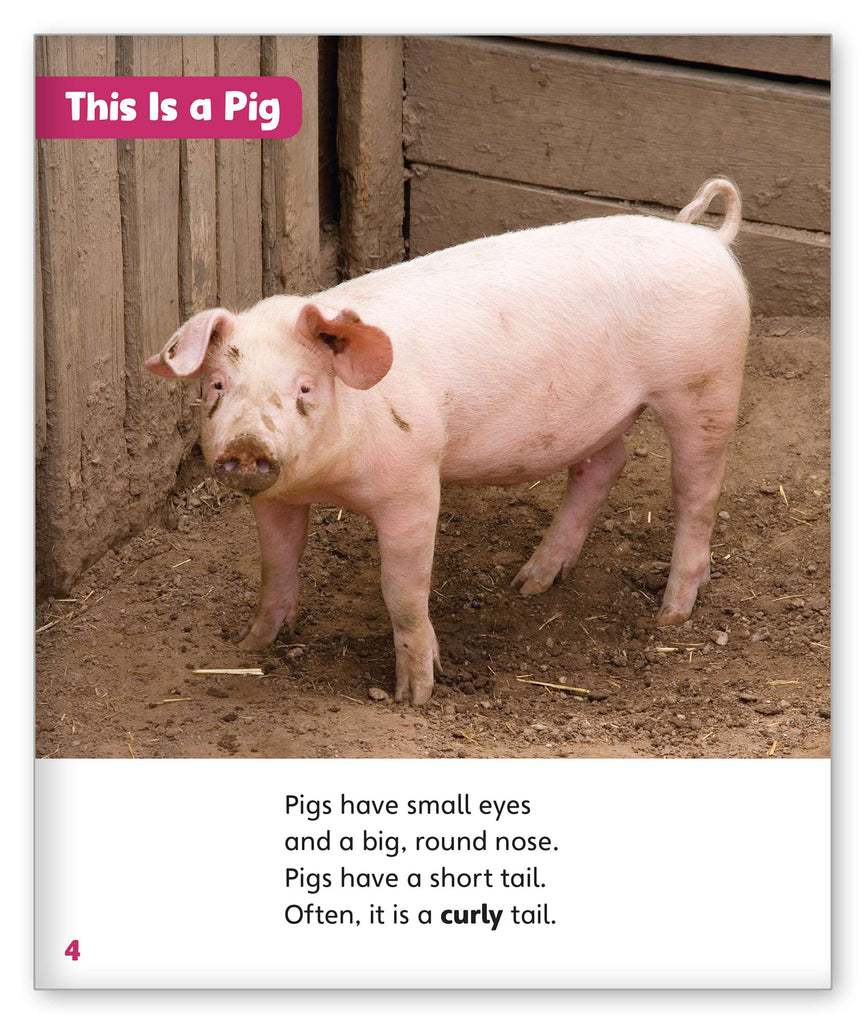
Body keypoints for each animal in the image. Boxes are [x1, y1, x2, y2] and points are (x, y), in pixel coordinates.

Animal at [147, 177, 750, 705]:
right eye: (217, 385)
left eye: (305, 387)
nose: (247, 444)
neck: (330, 482)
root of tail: (707, 239)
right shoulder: (276, 498)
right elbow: (276, 566)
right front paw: (252, 644)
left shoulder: (414, 484)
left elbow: (403, 592)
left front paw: (415, 695)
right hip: (600, 414)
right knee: (603, 466)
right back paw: (529, 584)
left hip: (706, 388)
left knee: (697, 492)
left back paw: (670, 614)